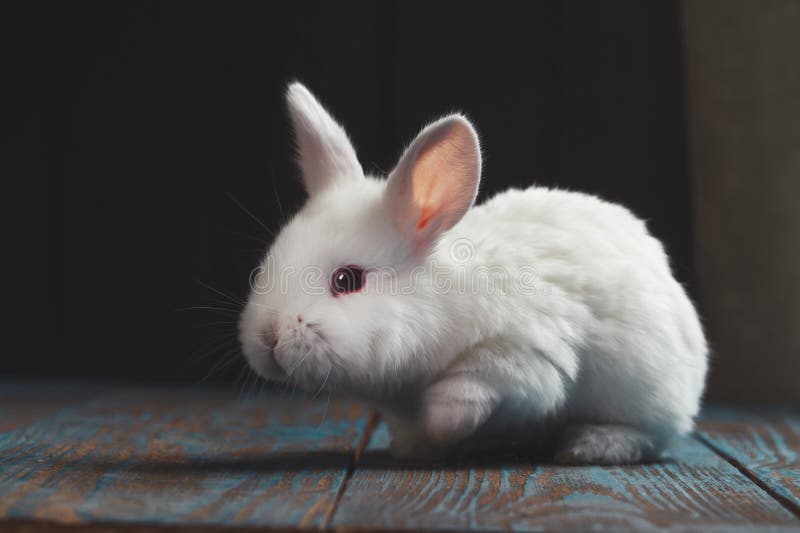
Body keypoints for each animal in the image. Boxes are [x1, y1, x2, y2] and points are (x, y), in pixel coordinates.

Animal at [238, 82, 708, 465]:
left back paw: (589, 446)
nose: (269, 338)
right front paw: (415, 447)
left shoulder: (525, 354)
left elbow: (471, 387)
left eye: (347, 280)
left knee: (646, 435)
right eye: (267, 266)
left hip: (646, 394)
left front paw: (441, 426)